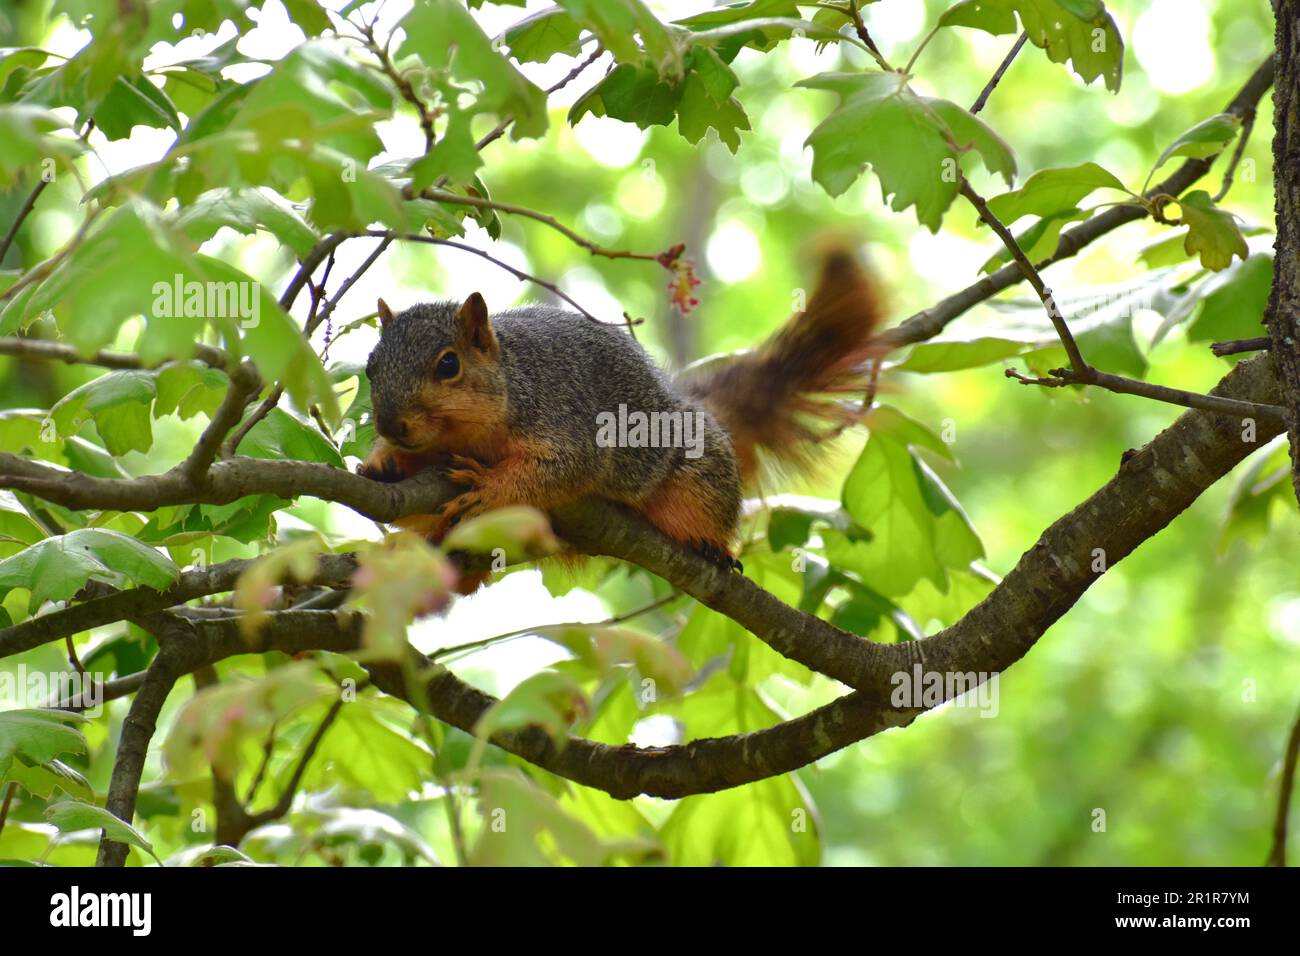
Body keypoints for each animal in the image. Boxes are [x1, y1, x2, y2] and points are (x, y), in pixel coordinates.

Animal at [357, 248, 884, 573]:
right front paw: (383, 463)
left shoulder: (563, 415)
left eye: (449, 364)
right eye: (370, 364)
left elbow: (562, 470)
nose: (389, 424)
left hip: (698, 466)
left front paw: (490, 489)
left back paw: (710, 544)